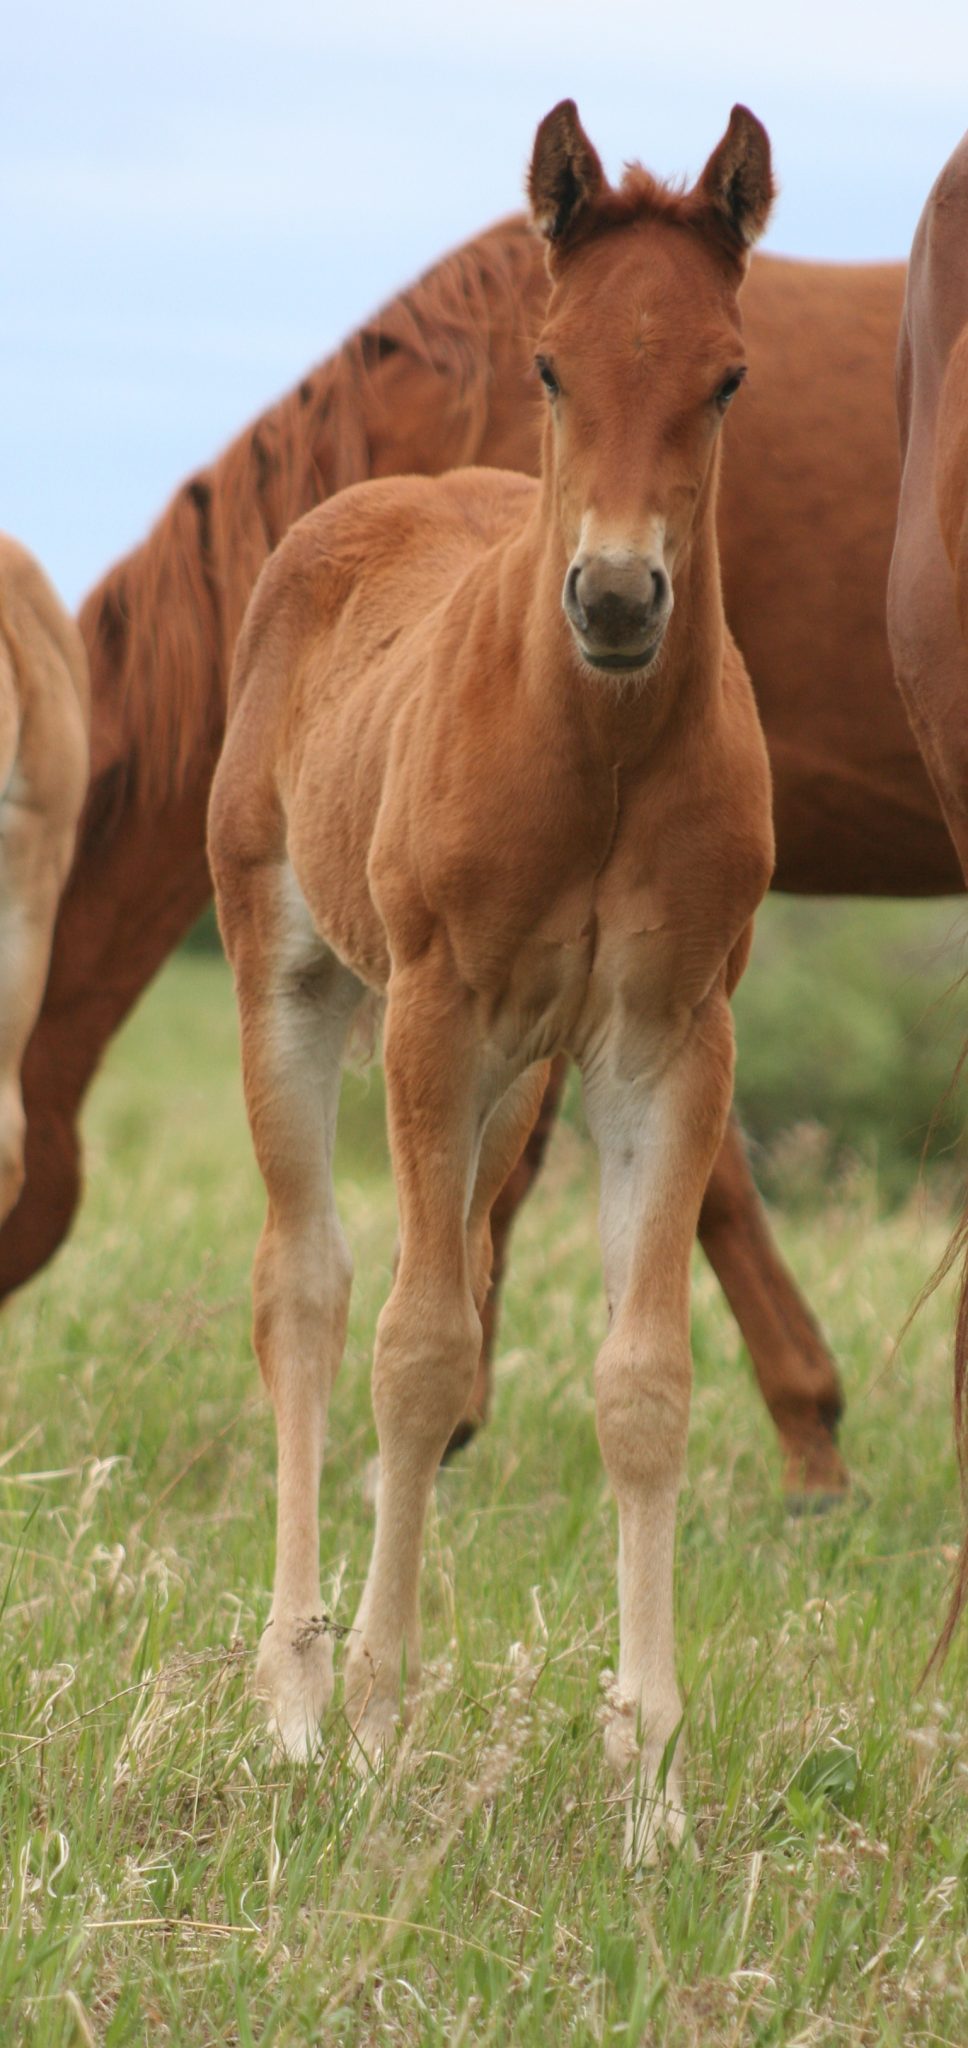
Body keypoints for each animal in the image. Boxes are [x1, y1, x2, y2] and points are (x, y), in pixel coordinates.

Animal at [208, 99, 777, 1859]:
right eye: (550, 365)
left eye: (727, 374)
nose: (617, 597)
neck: (594, 750)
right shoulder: (439, 1011)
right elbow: (420, 1350)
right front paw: (380, 1727)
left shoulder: (670, 1039)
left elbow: (643, 1379)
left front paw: (652, 1784)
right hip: (297, 976)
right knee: (311, 1288)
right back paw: (294, 1698)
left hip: (515, 1064)